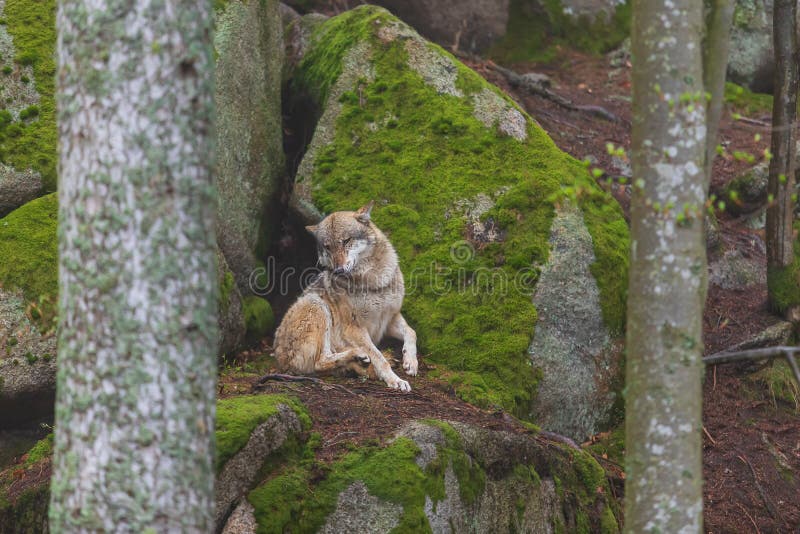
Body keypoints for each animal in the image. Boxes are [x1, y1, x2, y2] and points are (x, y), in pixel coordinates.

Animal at [273, 202, 418, 391]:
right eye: (327, 247)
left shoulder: (389, 319)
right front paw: (395, 380)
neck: (374, 281)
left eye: (346, 240)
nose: (338, 270)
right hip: (316, 304)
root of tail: (279, 361)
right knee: (321, 361)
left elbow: (411, 332)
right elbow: (379, 357)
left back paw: (358, 361)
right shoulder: (354, 328)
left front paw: (411, 362)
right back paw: (359, 355)